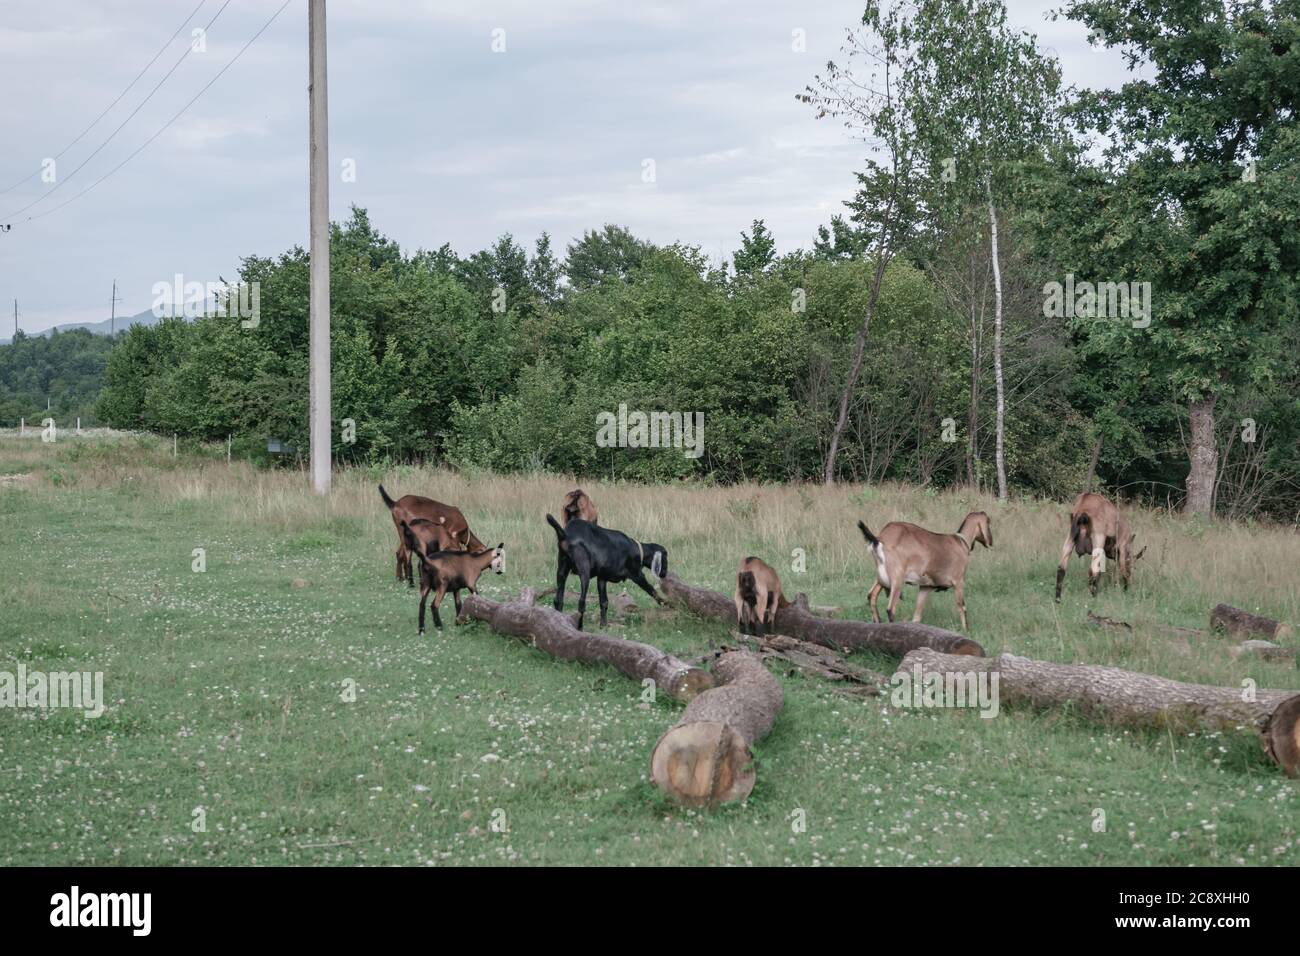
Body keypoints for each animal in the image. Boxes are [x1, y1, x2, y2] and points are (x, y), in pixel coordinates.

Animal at [858, 512, 992, 630]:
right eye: (988, 522)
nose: (990, 542)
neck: (961, 543)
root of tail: (880, 539)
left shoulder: (926, 586)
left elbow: (917, 615)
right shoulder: (958, 581)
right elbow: (962, 606)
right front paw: (966, 630)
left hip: (881, 577)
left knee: (871, 595)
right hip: (897, 579)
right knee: (890, 608)